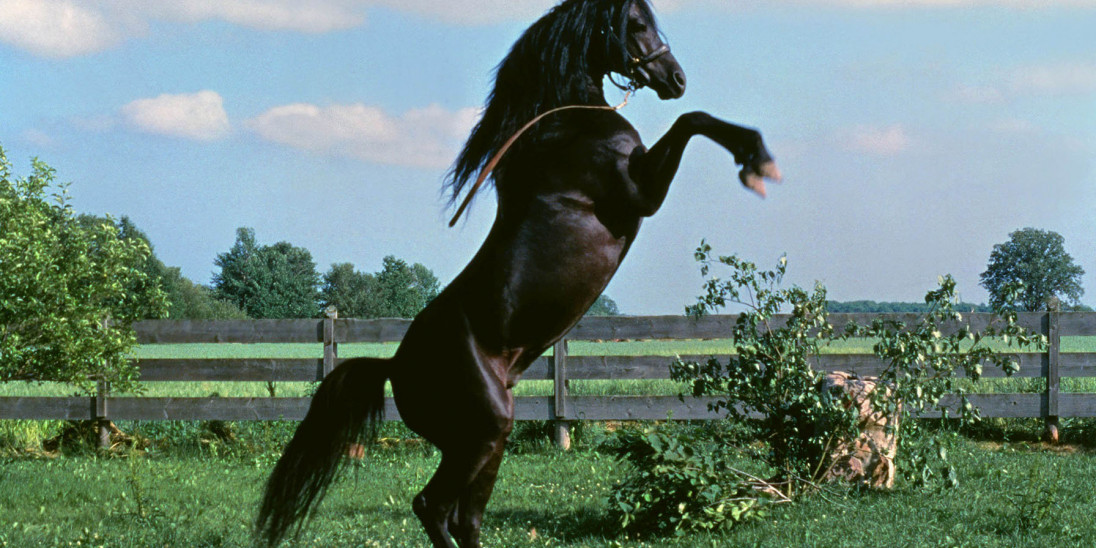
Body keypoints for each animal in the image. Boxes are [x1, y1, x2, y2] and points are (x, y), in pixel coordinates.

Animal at [256, 1, 780, 546]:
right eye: (636, 24)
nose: (676, 78)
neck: (569, 129)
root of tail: (393, 365)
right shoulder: (639, 194)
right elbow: (689, 120)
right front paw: (756, 159)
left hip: (486, 440)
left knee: (463, 518)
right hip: (483, 434)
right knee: (431, 506)